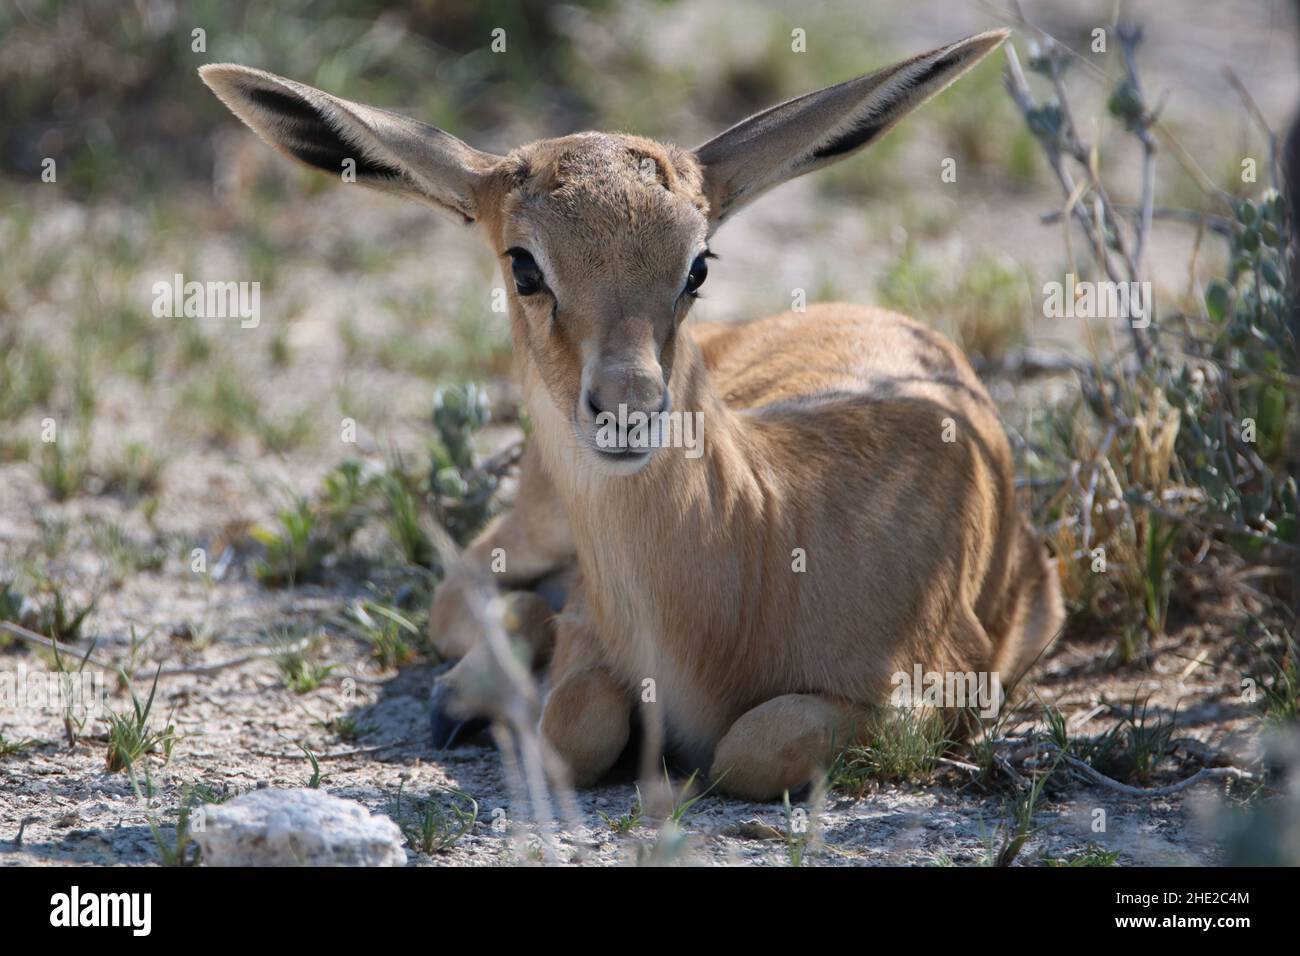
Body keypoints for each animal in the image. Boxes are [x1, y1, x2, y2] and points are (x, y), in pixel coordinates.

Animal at [201, 27, 1064, 801]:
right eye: (524, 264)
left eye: (699, 263)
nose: (628, 408)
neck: (765, 549)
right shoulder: (591, 624)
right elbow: (577, 723)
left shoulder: (939, 681)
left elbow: (751, 743)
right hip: (534, 523)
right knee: (464, 592)